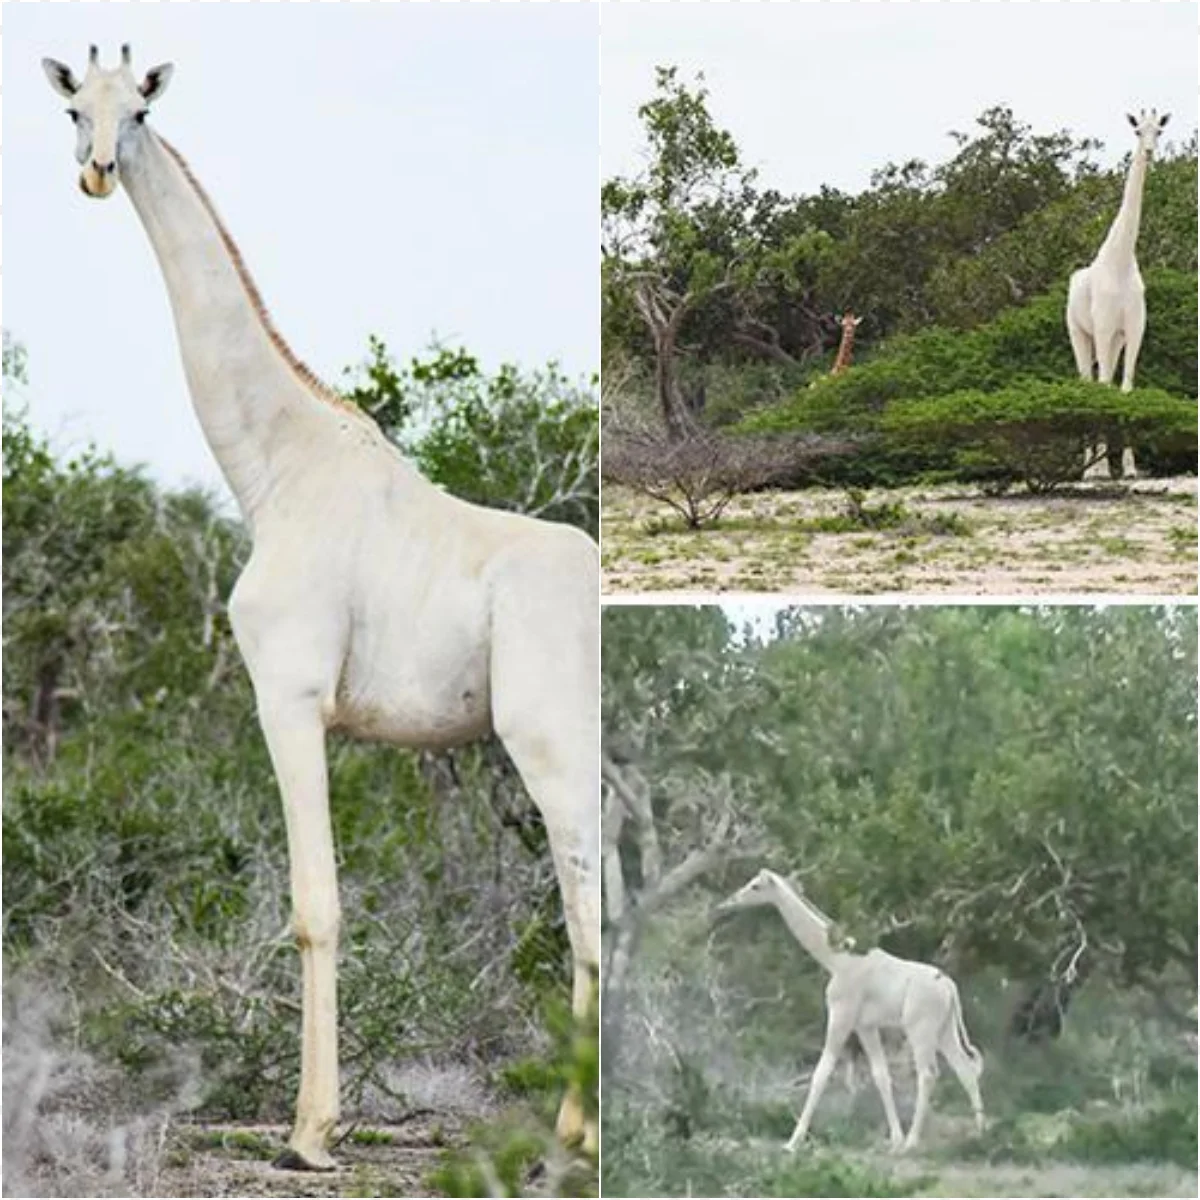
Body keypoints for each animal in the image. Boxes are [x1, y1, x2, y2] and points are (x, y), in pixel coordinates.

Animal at [43, 46, 599, 1169]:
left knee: (584, 901)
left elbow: (316, 906)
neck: (272, 468)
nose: (97, 172)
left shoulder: (289, 693)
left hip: (546, 734)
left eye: (141, 110)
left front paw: (310, 1133)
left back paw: (576, 1132)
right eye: (75, 107)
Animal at [717, 869, 984, 1152]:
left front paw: (793, 1142)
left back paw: (914, 1142)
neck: (836, 959)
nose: (727, 903)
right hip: (945, 1029)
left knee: (928, 1075)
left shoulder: (840, 1016)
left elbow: (821, 1073)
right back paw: (980, 1133)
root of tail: (950, 988)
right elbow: (880, 1076)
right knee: (965, 1069)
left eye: (756, 886)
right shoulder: (865, 1025)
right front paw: (894, 1140)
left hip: (920, 1028)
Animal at [1066, 109, 1170, 480]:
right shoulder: (1102, 327)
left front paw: (1128, 466)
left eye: (1159, 131)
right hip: (1080, 332)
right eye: (1138, 130)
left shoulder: (1133, 329)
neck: (1121, 259)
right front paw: (1096, 469)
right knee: (1088, 381)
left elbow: (1125, 388)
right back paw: (1088, 467)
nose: (1150, 152)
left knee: (1105, 380)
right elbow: (1099, 388)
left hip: (1113, 340)